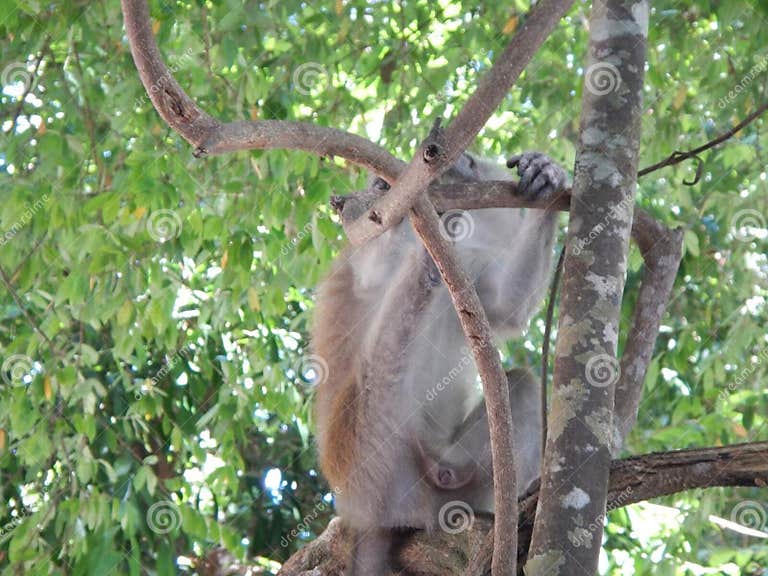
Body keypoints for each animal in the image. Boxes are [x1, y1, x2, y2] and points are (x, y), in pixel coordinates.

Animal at [311, 151, 567, 575]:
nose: (464, 160)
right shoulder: (370, 243)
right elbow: (374, 267)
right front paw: (386, 196)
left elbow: (505, 306)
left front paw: (545, 175)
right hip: (366, 445)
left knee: (521, 383)